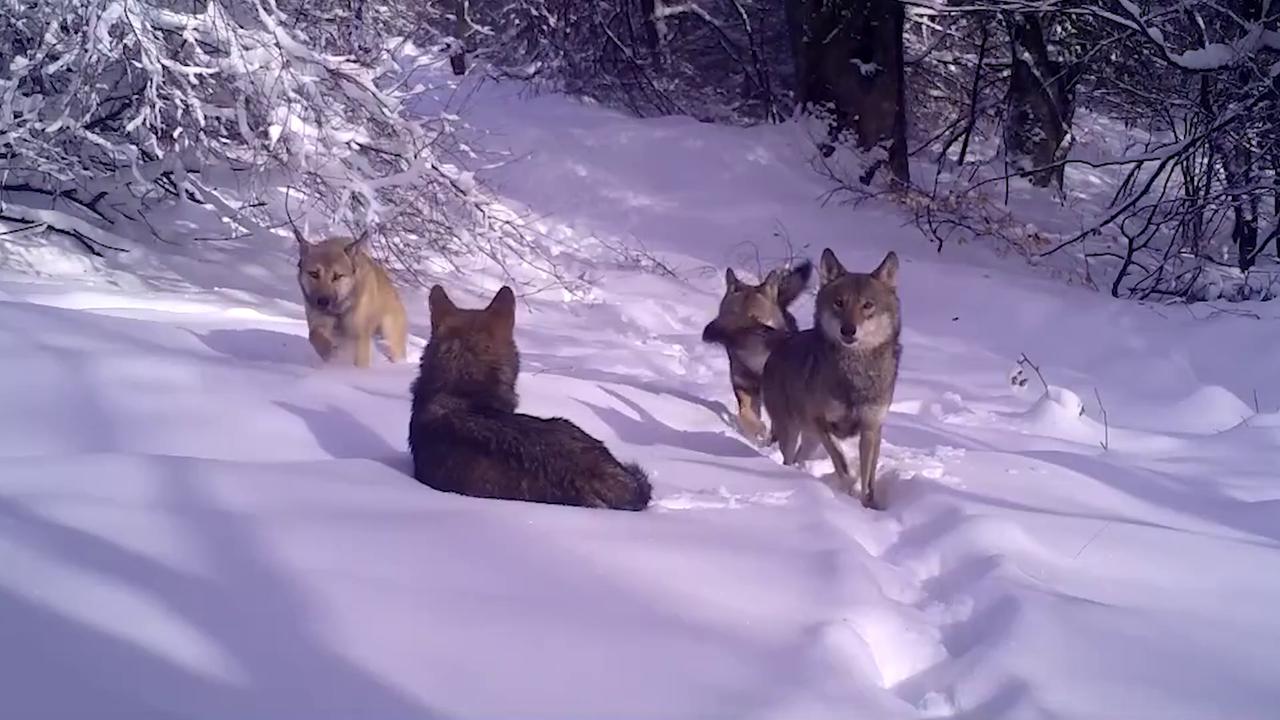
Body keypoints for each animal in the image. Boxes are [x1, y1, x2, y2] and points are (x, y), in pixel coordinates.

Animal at [295, 233, 408, 368]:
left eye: (337, 276)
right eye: (314, 274)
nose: (323, 301)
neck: (340, 311)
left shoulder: (359, 336)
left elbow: (360, 360)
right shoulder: (319, 322)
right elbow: (314, 336)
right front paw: (329, 353)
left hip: (389, 334)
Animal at [701, 260, 812, 443]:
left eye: (755, 320)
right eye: (731, 317)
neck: (755, 362)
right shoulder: (744, 386)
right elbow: (746, 413)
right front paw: (757, 430)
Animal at [761, 249, 901, 510]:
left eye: (868, 305)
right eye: (839, 302)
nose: (848, 330)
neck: (855, 374)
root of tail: (782, 342)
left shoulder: (871, 429)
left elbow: (869, 477)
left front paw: (868, 505)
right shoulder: (820, 423)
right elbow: (841, 461)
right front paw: (849, 489)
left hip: (809, 439)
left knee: (799, 456)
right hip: (792, 430)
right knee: (788, 457)